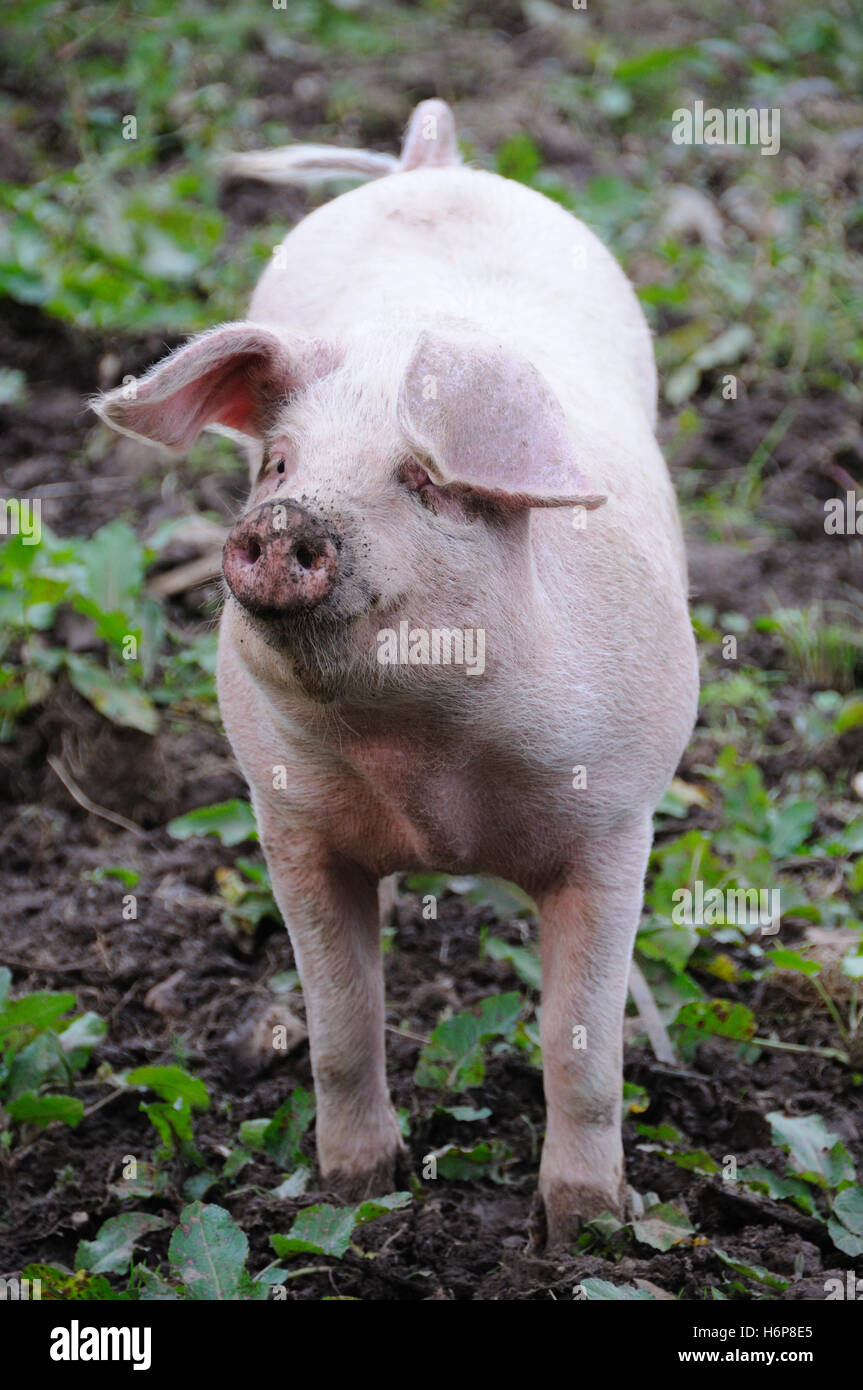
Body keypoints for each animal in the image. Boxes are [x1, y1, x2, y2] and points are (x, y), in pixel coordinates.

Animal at [94, 99, 698, 1248]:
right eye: (278, 464)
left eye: (423, 481)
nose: (282, 519)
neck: (425, 764)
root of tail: (433, 161)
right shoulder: (286, 816)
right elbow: (340, 1023)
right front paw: (354, 1194)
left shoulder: (614, 822)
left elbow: (579, 1049)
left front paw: (585, 1232)